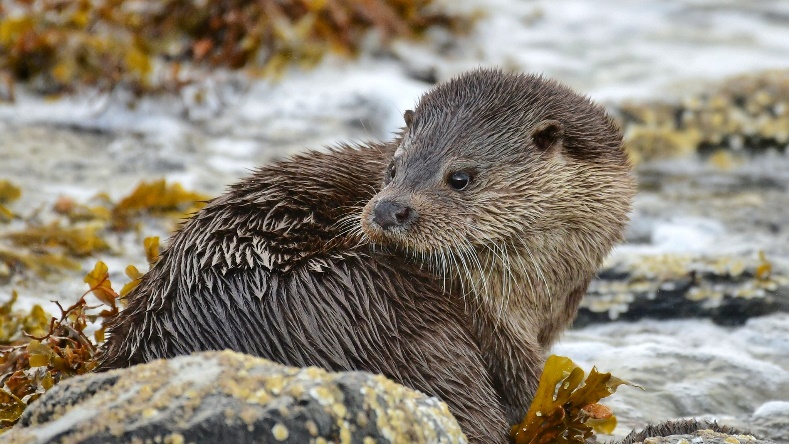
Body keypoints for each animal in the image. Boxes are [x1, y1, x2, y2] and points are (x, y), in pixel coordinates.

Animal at [98, 69, 635, 443]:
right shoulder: (494, 325)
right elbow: (530, 390)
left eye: (460, 176)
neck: (540, 290)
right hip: (386, 314)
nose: (387, 208)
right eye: (394, 168)